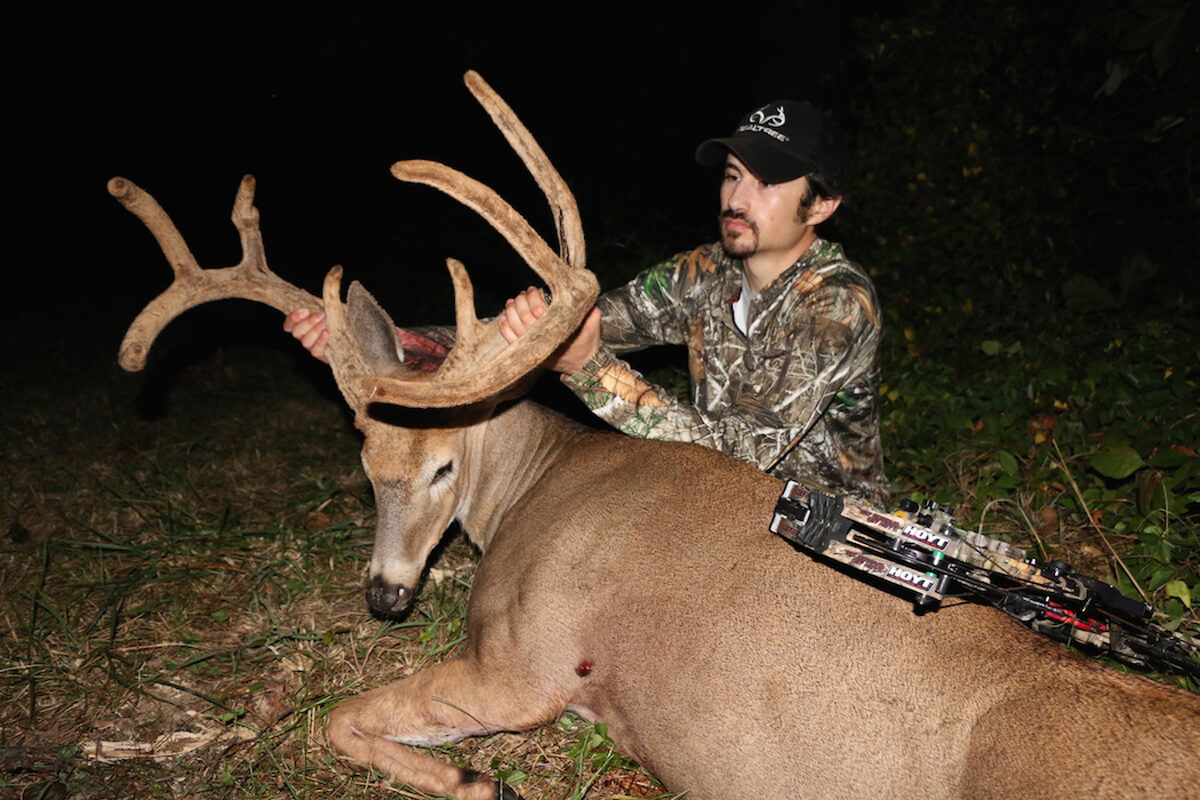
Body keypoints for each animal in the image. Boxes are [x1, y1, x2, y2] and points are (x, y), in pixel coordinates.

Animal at [112, 71, 1199, 800]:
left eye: (443, 467)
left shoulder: (529, 664)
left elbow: (342, 715)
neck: (536, 490)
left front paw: (473, 779)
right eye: (363, 464)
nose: (383, 597)